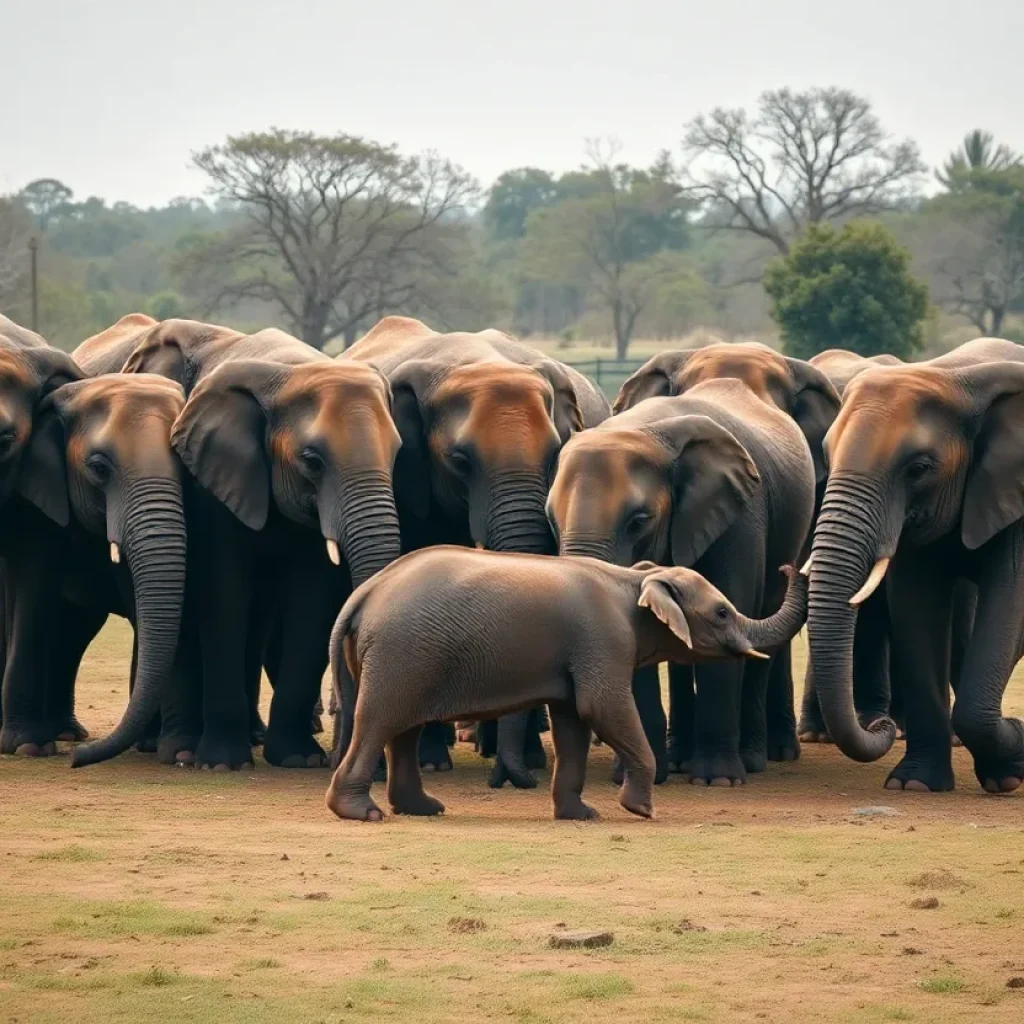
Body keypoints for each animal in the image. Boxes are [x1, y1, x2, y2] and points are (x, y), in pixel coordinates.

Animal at [3, 374, 188, 766]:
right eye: (99, 468)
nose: (77, 759)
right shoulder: (35, 499)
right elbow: (33, 595)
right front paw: (28, 746)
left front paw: (159, 745)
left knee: (77, 628)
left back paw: (69, 732)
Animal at [325, 547, 808, 822]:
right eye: (723, 613)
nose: (788, 567)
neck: (635, 579)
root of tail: (361, 595)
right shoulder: (603, 639)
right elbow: (603, 708)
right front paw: (641, 810)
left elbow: (575, 720)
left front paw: (583, 815)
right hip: (402, 653)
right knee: (379, 722)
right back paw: (364, 814)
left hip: (408, 656)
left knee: (401, 730)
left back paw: (423, 810)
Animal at [549, 380, 816, 786]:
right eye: (551, 518)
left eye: (638, 521)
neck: (647, 430)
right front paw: (635, 775)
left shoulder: (740, 513)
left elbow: (733, 603)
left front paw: (717, 780)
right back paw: (677, 760)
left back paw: (752, 760)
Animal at [806, 336, 1024, 793]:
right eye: (826, 457)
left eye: (920, 468)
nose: (881, 725)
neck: (956, 378)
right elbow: (916, 609)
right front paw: (915, 785)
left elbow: (1011, 604)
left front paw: (1010, 769)